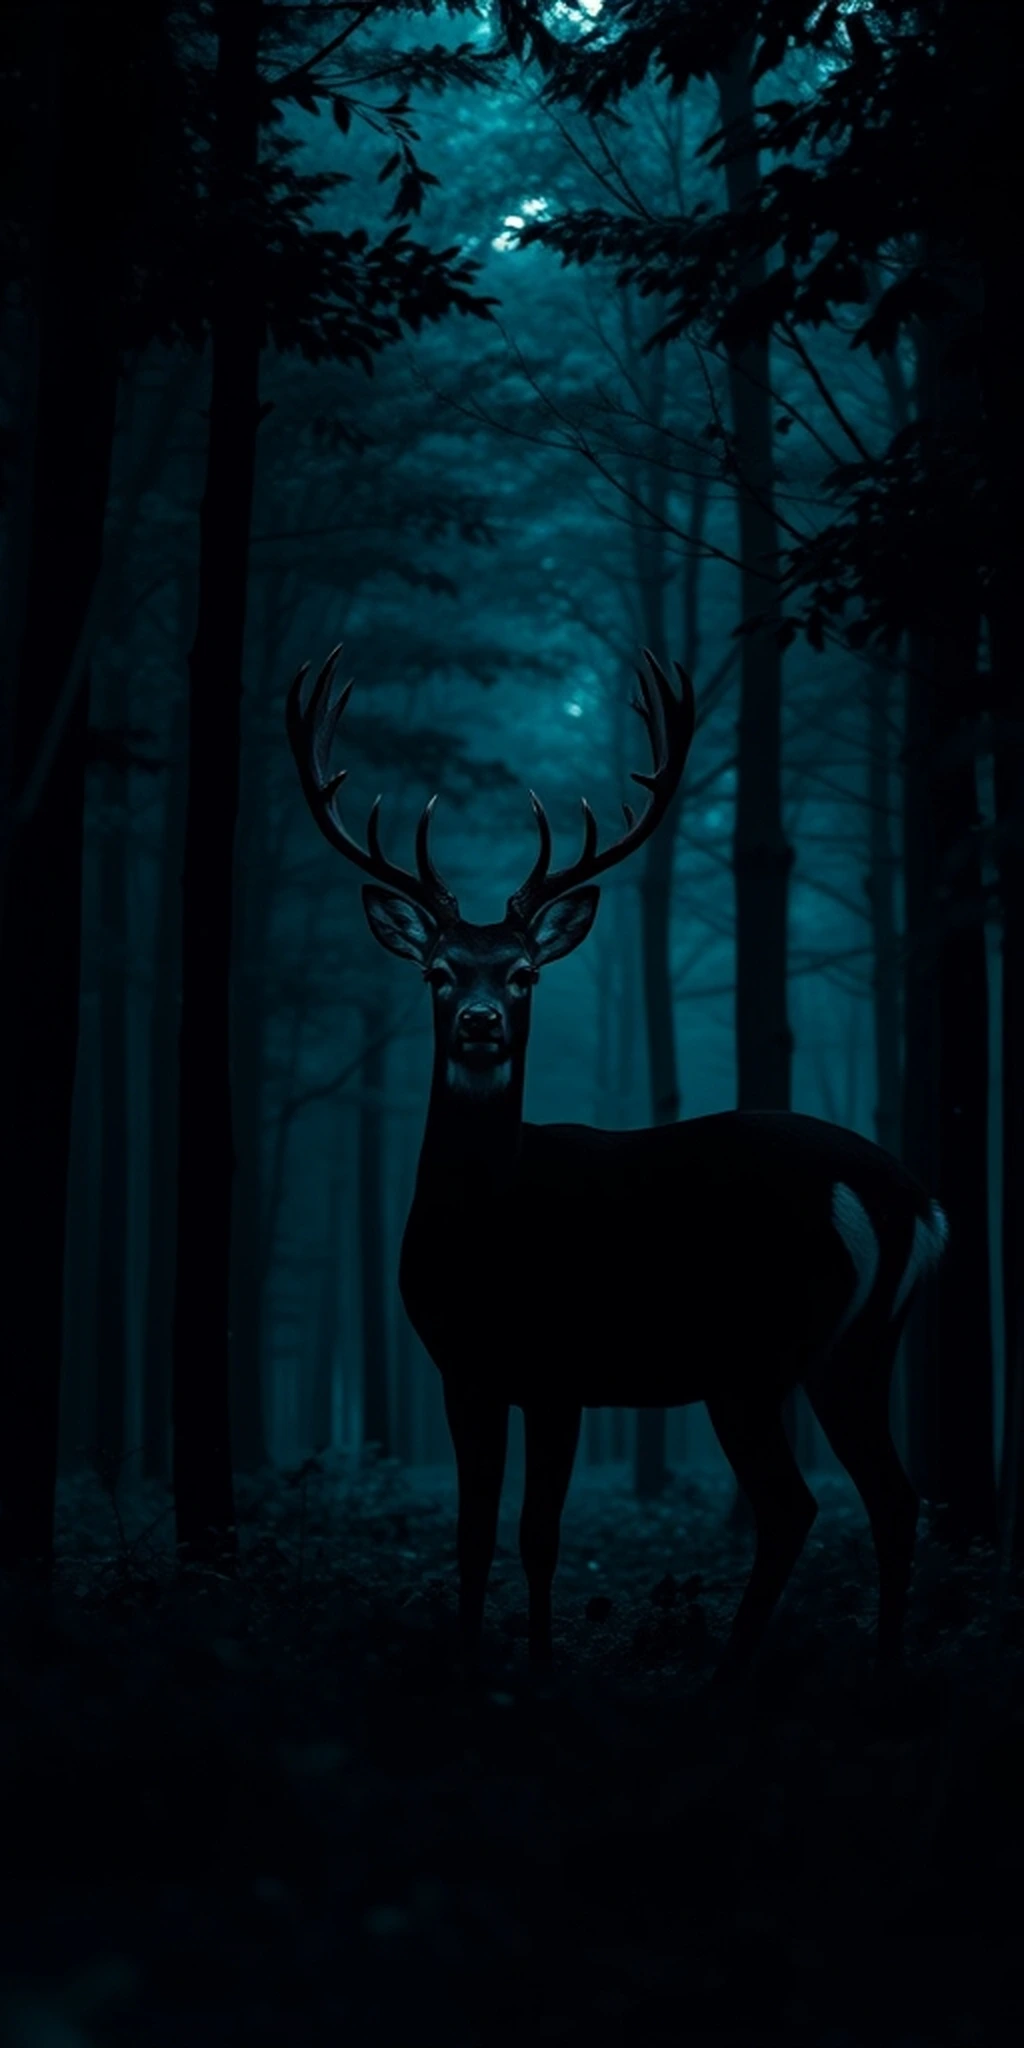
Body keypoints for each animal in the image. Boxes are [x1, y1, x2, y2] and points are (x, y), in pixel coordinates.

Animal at [285, 644, 948, 1681]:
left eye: (524, 972)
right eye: (439, 971)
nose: (480, 1023)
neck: (485, 1239)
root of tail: (913, 1201)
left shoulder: (559, 1365)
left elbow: (538, 1534)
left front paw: (539, 1675)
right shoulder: (463, 1368)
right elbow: (470, 1533)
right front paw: (468, 1669)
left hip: (757, 1355)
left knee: (797, 1503)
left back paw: (729, 1676)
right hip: (862, 1346)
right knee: (891, 1495)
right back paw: (873, 1673)